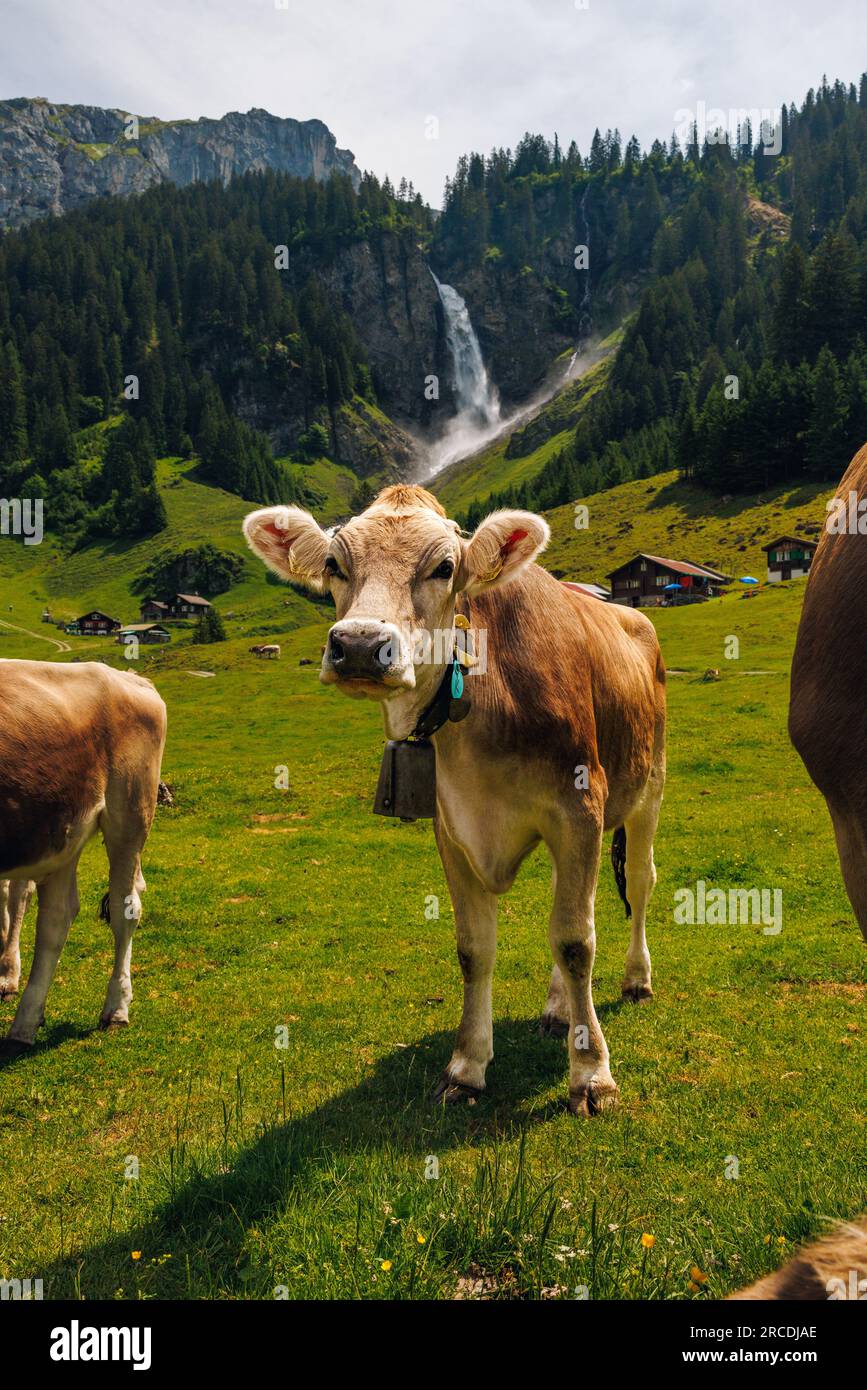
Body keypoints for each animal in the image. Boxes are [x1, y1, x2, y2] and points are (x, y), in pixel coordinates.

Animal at [0, 661, 166, 1056]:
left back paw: (116, 1009)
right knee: (55, 919)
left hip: (130, 815)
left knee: (124, 909)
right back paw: (25, 1022)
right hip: (62, 832)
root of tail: (130, 678)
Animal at [244, 484, 666, 1116]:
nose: (361, 646)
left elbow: (576, 941)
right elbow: (475, 949)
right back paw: (557, 1007)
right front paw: (467, 1066)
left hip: (649, 786)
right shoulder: (453, 826)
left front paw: (591, 1074)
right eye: (334, 564)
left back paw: (635, 981)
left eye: (444, 567)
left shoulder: (580, 808)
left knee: (637, 884)